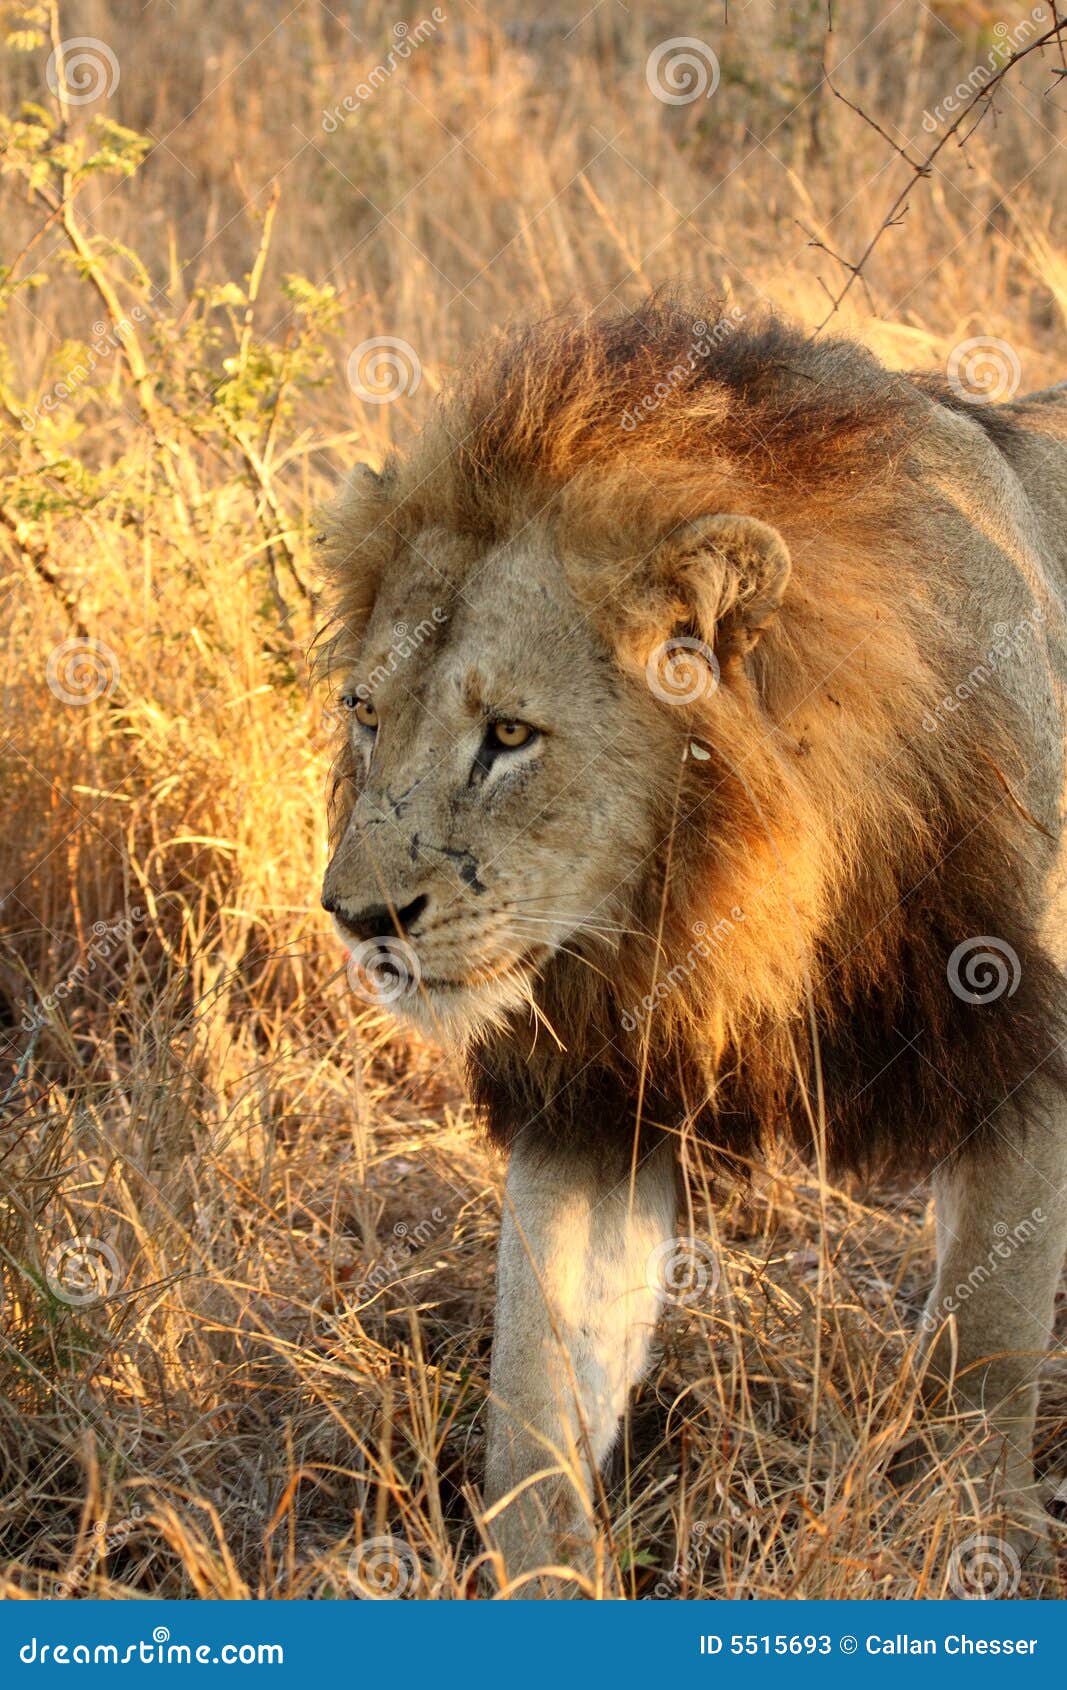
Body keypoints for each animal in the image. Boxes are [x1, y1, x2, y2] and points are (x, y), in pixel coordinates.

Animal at [319, 298, 1067, 1596]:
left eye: (507, 734)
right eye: (366, 717)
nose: (359, 919)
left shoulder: (1025, 1047)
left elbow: (987, 1341)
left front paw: (979, 1536)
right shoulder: (598, 1093)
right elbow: (534, 1376)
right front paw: (540, 1575)